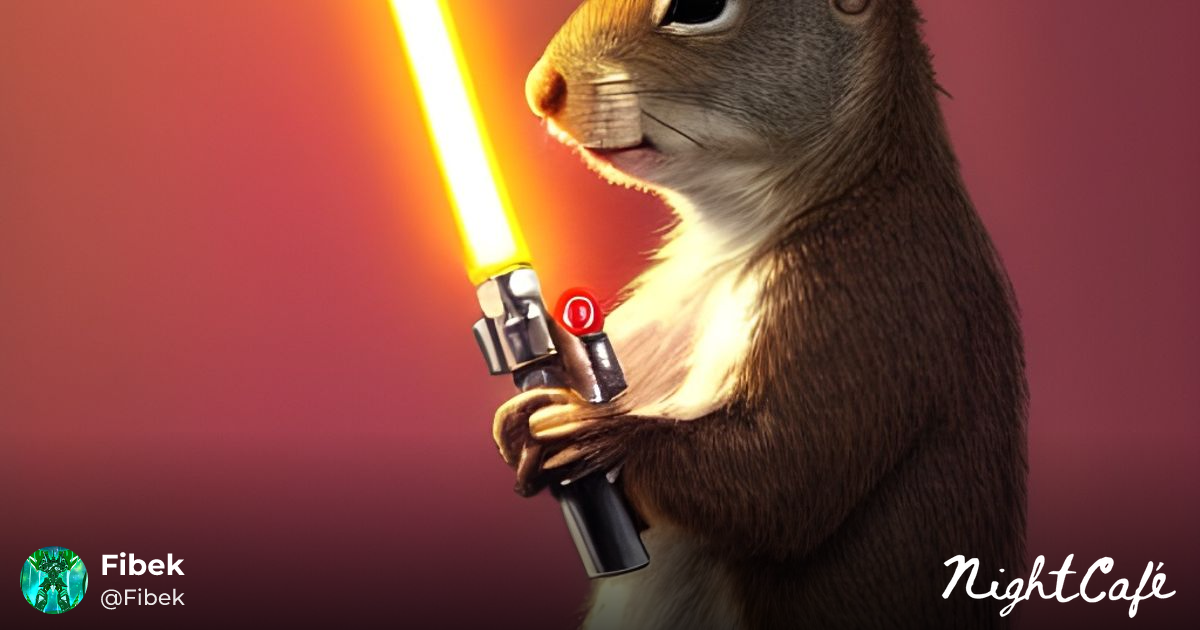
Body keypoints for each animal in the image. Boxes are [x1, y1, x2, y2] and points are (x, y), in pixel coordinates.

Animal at [493, 1, 1027, 628]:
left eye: (699, 10)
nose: (540, 88)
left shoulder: (869, 302)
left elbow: (784, 479)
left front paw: (597, 438)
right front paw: (518, 419)